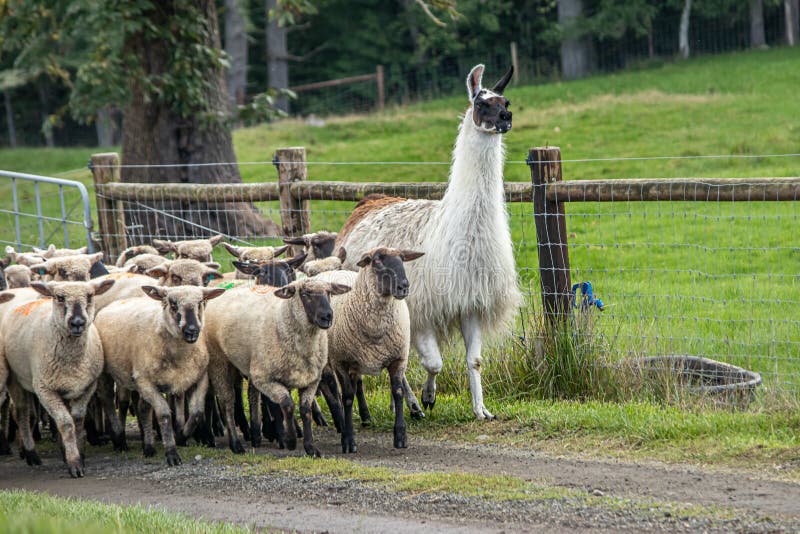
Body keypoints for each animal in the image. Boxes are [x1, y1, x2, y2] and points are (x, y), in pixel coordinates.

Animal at [0, 279, 115, 477]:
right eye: (60, 297)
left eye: (90, 296)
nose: (78, 322)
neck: (73, 361)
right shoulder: (45, 389)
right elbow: (66, 423)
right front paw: (75, 464)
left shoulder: (86, 387)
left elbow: (77, 421)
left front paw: (78, 455)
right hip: (15, 378)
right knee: (21, 413)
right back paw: (31, 454)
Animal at [94, 285, 225, 464]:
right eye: (173, 304)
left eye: (200, 302)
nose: (192, 331)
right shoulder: (146, 382)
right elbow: (163, 414)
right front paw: (172, 453)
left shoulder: (199, 378)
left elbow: (197, 412)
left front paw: (181, 436)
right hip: (109, 374)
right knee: (108, 400)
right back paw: (120, 441)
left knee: (142, 408)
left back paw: (148, 447)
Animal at [204, 278, 351, 455]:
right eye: (305, 293)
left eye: (329, 292)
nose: (328, 315)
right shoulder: (266, 379)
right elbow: (287, 405)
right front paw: (290, 440)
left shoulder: (310, 380)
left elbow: (305, 410)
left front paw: (310, 447)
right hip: (219, 362)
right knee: (227, 402)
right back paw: (236, 444)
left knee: (251, 395)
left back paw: (255, 435)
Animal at [336, 65, 519, 420]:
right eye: (481, 103)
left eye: (505, 101)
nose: (506, 118)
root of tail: (367, 202)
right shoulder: (421, 306)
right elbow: (433, 363)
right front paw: (428, 397)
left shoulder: (471, 300)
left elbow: (475, 360)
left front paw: (481, 410)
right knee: (399, 361)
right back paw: (414, 405)